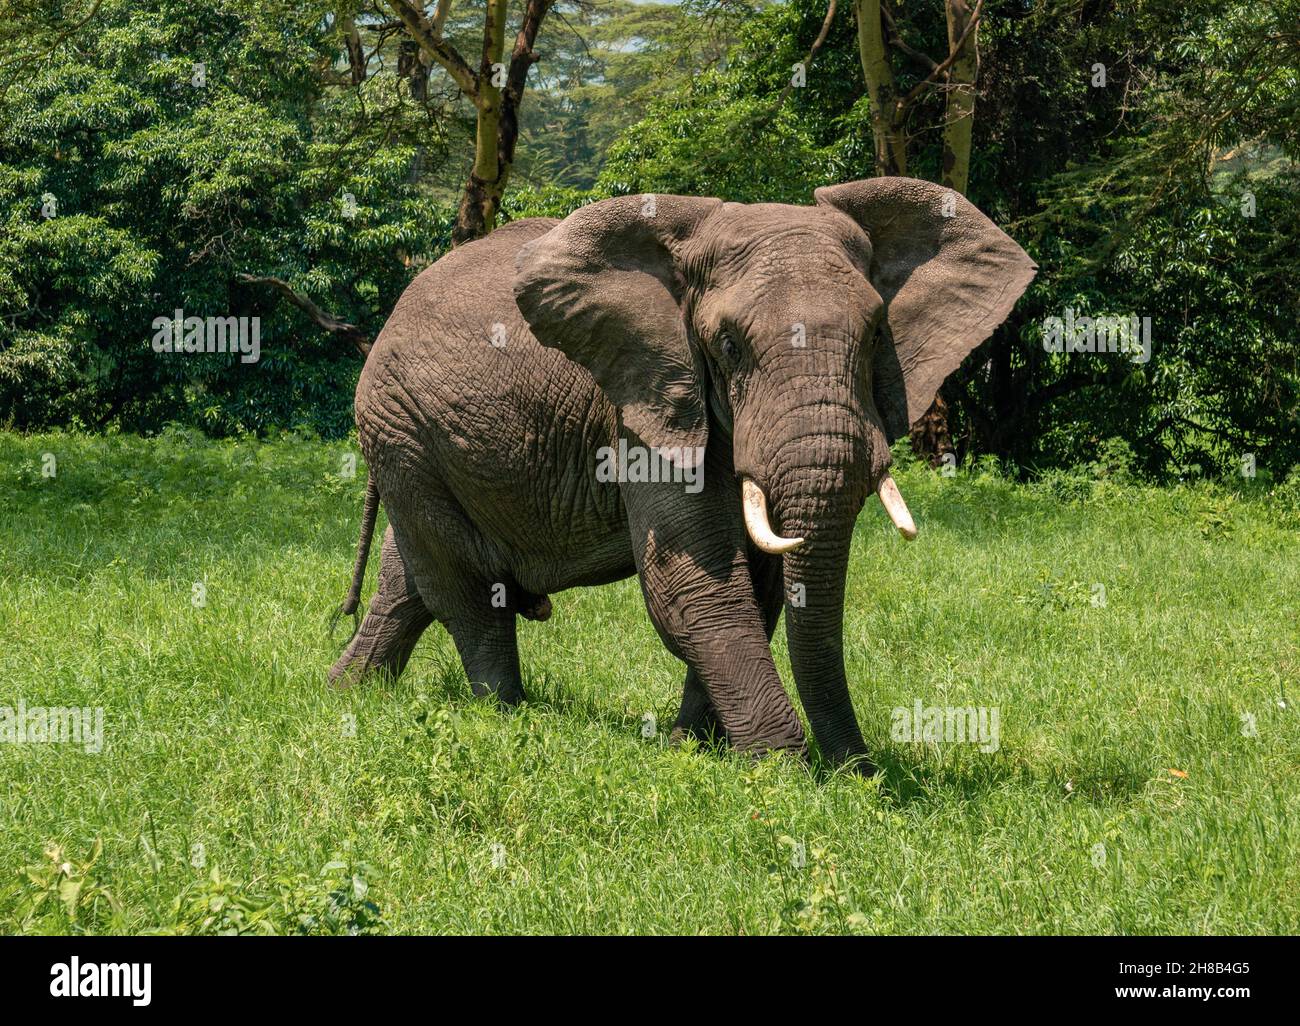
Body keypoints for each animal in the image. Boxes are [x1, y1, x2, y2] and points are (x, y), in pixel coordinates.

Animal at [328, 176, 1036, 771]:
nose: (858, 770)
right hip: (401, 429)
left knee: (409, 580)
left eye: (874, 337)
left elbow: (758, 587)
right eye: (728, 347)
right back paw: (506, 715)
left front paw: (689, 750)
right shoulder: (642, 406)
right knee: (467, 589)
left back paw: (350, 693)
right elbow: (697, 585)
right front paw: (778, 772)